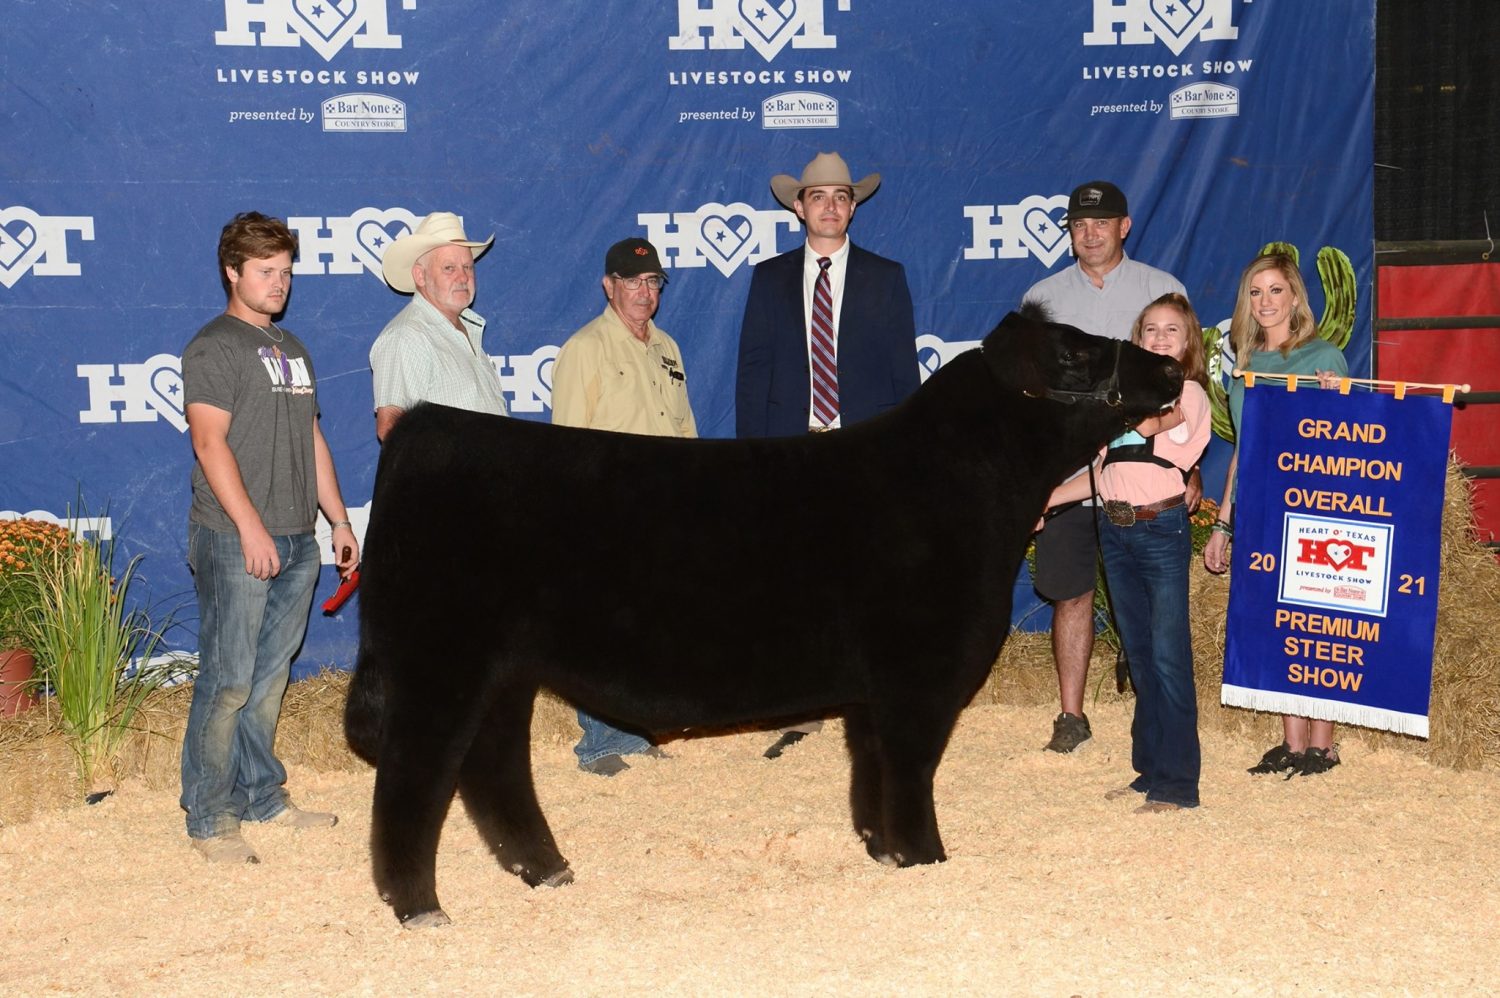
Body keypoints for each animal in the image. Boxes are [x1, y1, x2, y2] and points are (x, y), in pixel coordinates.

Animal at [344, 307, 1183, 926]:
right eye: (1073, 354)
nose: (1172, 367)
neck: (964, 481)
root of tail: (425, 424)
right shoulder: (919, 673)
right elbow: (911, 769)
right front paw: (925, 859)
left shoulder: (872, 688)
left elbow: (870, 769)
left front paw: (881, 850)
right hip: (439, 659)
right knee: (414, 776)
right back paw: (419, 906)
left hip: (503, 669)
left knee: (491, 766)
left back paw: (546, 870)